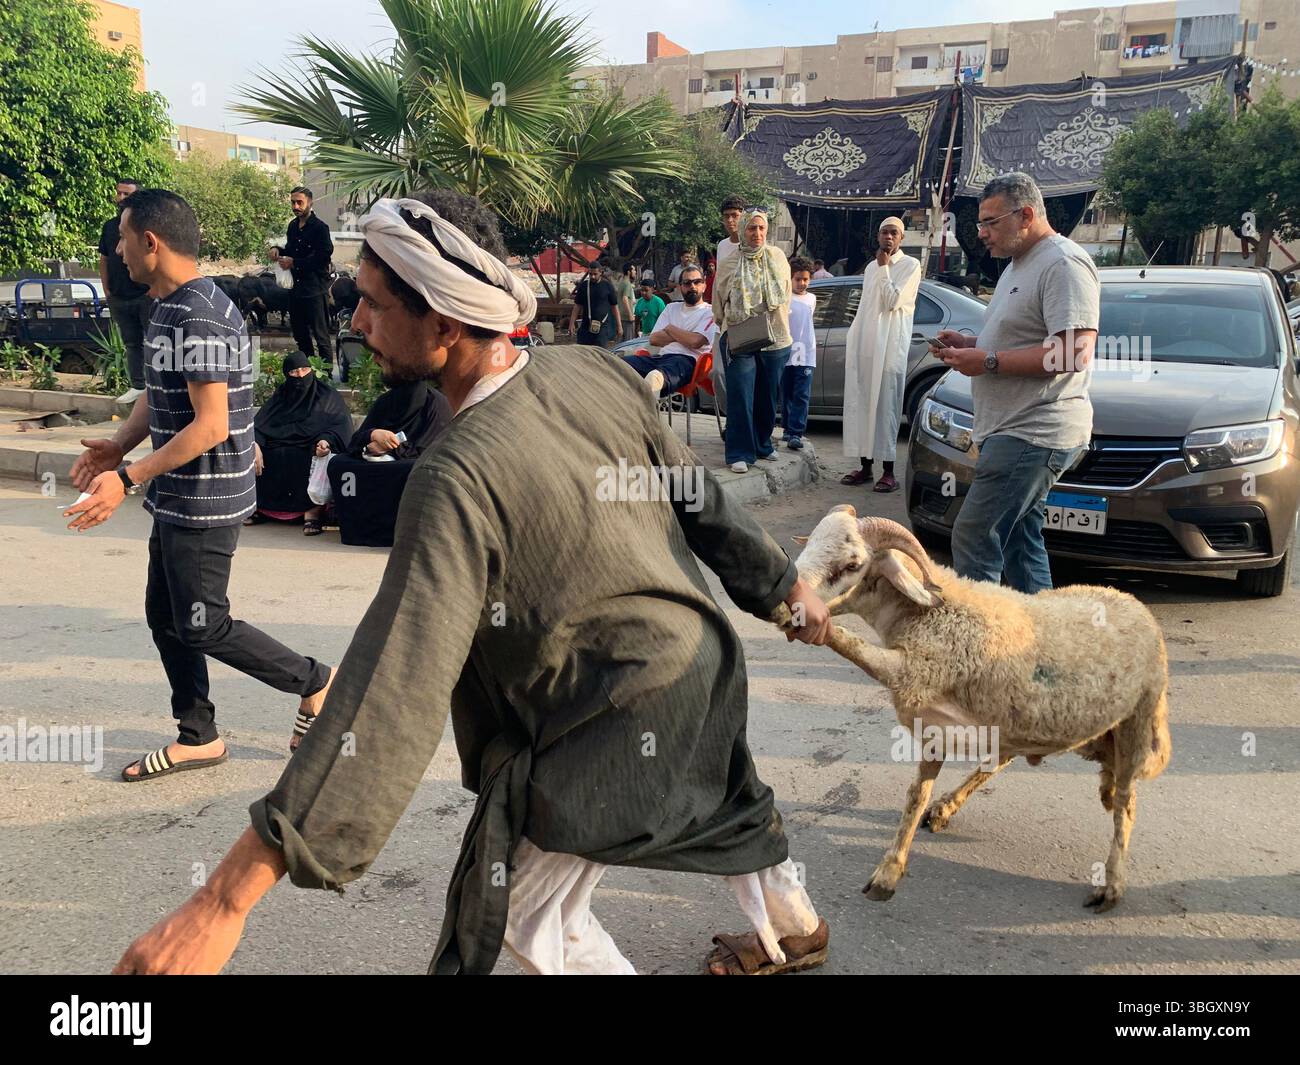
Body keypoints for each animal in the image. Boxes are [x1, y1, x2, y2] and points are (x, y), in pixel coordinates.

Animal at [774, 504, 1171, 912]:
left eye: (852, 564)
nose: (785, 606)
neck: (933, 613)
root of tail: (1138, 608)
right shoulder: (933, 718)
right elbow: (916, 795)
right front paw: (890, 871)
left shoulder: (918, 672)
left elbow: (850, 643)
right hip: (1020, 720)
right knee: (1005, 760)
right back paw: (949, 807)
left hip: (1138, 718)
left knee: (1126, 802)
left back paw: (1112, 882)